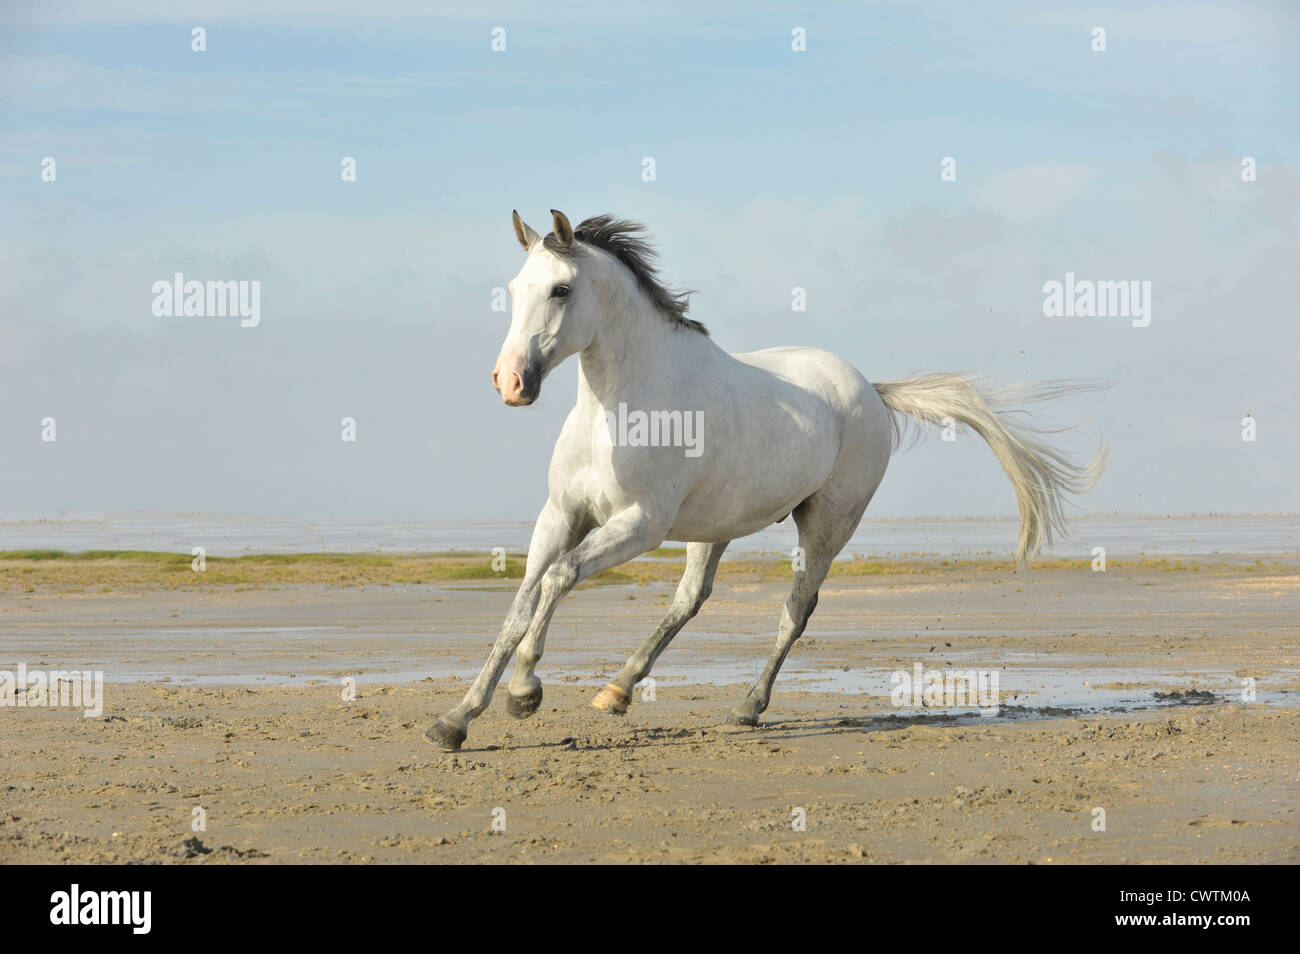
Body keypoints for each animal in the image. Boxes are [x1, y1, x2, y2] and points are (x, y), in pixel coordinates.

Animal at [425, 209, 1105, 751]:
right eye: (516, 289)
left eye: (562, 289)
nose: (511, 382)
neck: (618, 407)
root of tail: (871, 390)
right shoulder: (561, 514)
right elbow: (521, 603)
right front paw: (457, 720)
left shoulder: (640, 525)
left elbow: (557, 581)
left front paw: (523, 692)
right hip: (715, 528)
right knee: (689, 600)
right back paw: (617, 690)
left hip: (827, 526)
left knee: (794, 612)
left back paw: (747, 707)